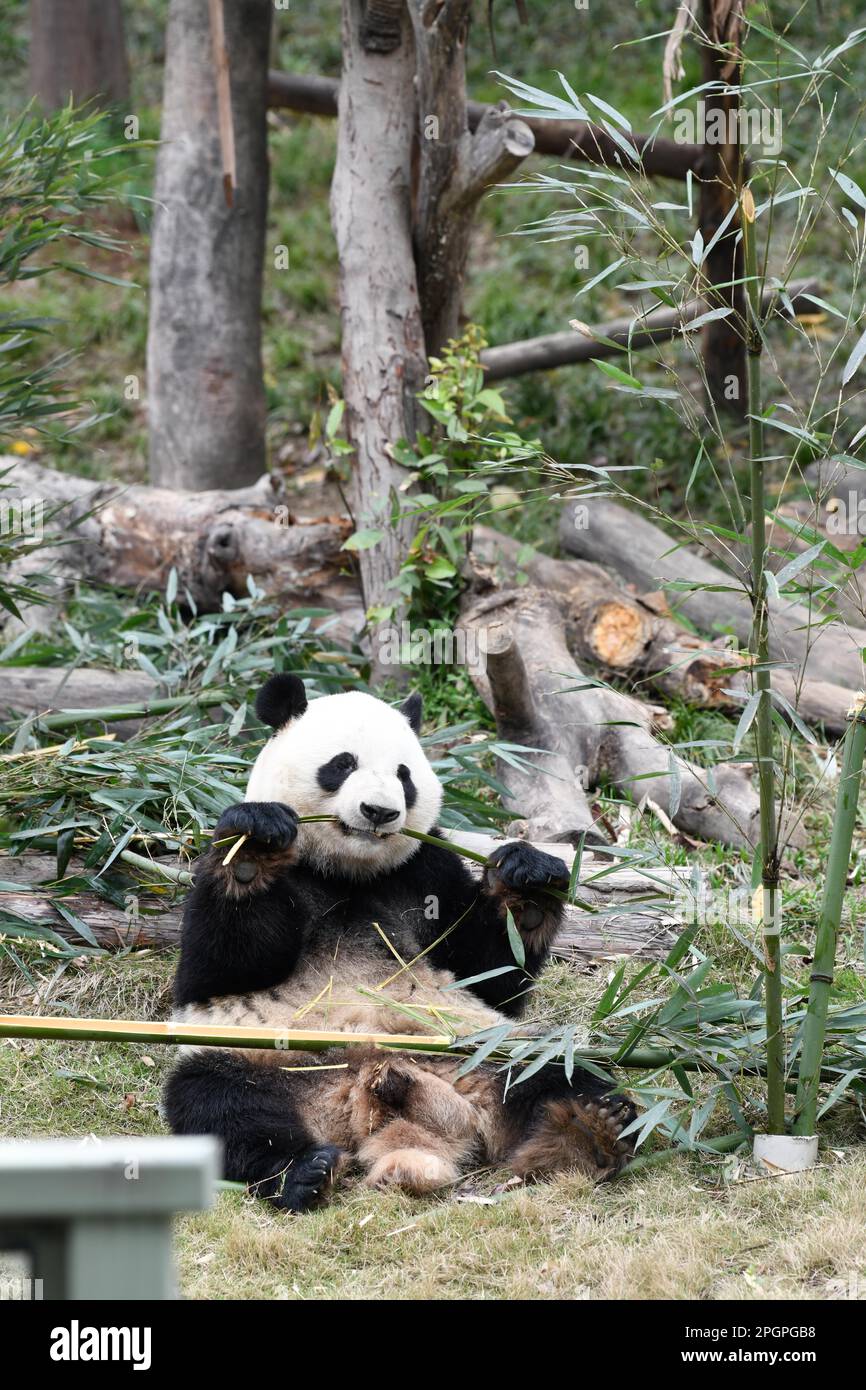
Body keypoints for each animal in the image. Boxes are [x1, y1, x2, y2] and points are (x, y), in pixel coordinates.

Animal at [164, 674, 635, 1210]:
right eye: (342, 764)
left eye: (404, 775)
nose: (380, 811)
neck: (350, 871)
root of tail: (363, 1096)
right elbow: (219, 966)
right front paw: (255, 848)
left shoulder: (428, 869)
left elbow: (490, 973)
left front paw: (528, 882)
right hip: (257, 1055)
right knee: (220, 1107)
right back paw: (304, 1171)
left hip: (486, 1050)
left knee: (556, 1071)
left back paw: (589, 1132)